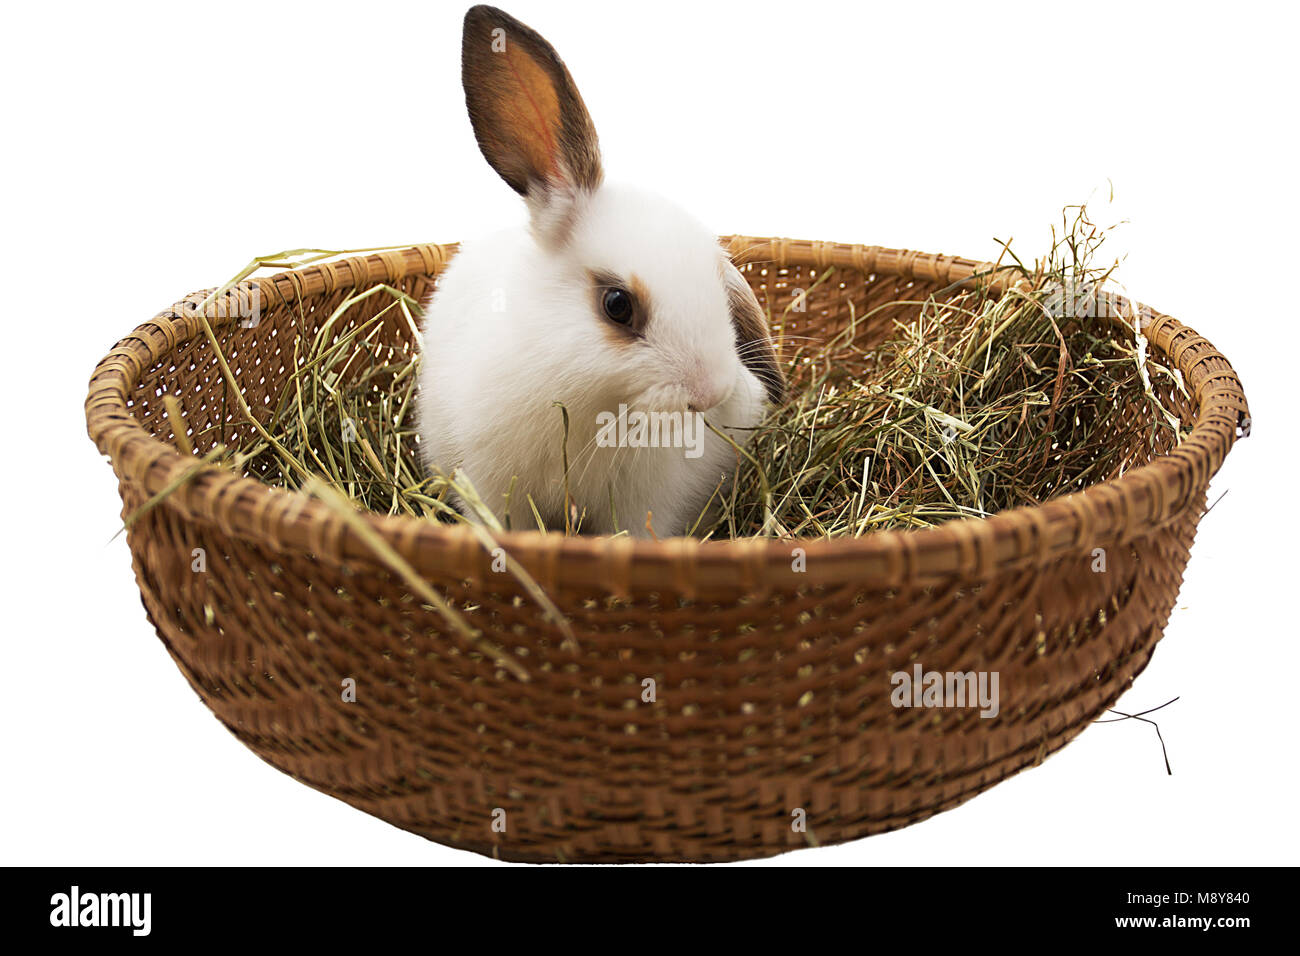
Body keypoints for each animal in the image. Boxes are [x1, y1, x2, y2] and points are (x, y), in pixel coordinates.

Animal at [418, 5, 784, 538]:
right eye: (617, 305)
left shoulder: (649, 504)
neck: (596, 405)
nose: (711, 391)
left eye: (721, 290)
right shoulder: (493, 484)